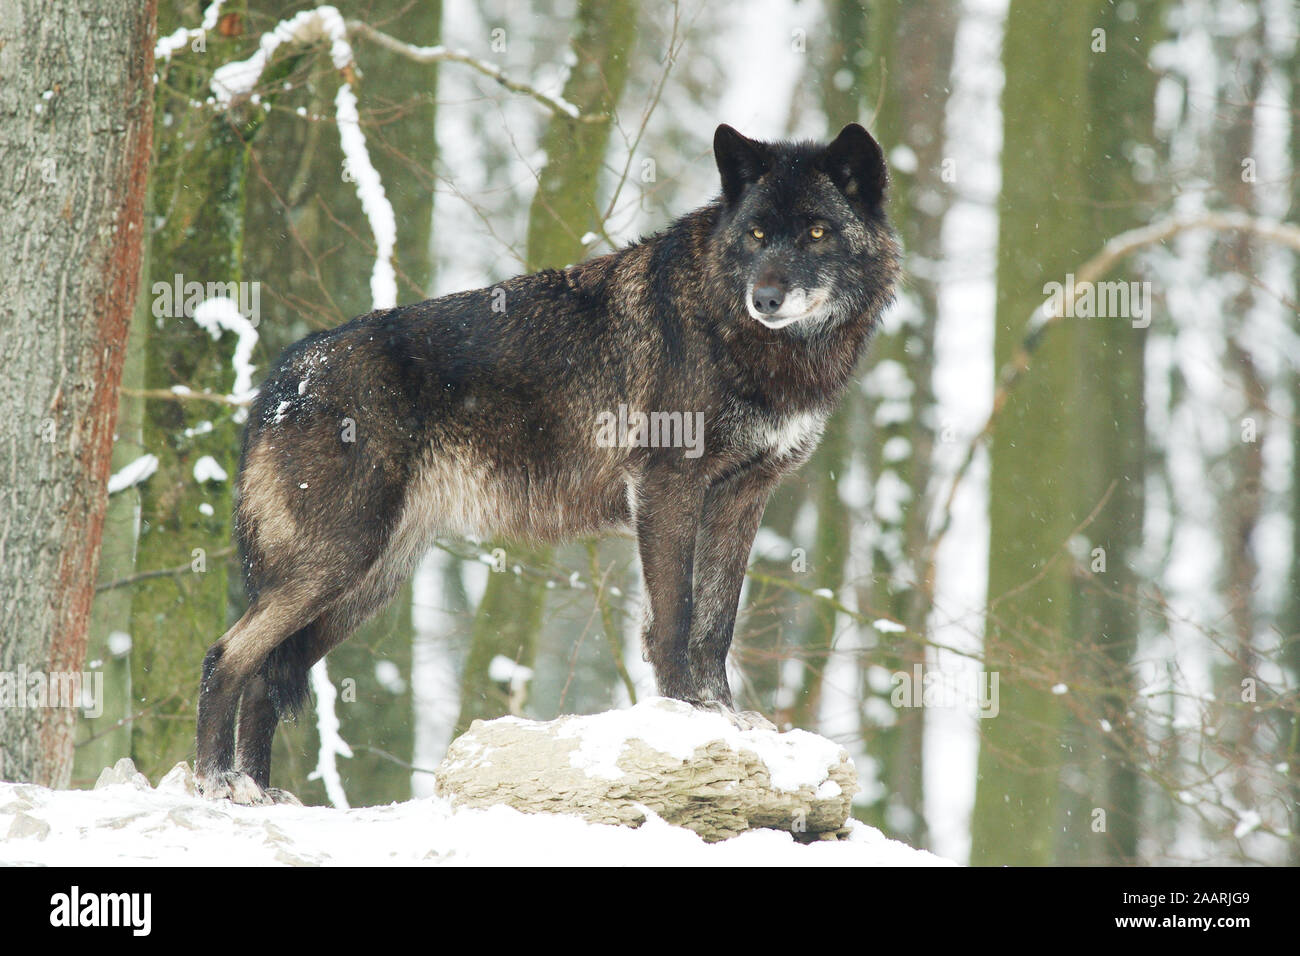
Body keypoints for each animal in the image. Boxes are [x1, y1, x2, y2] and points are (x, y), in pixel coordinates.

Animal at [195, 123, 900, 804]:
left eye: (816, 231)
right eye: (755, 234)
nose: (767, 297)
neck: (738, 333)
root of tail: (281, 377)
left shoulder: (742, 498)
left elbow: (715, 626)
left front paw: (721, 717)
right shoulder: (667, 487)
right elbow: (674, 621)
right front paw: (684, 721)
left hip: (367, 582)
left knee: (265, 673)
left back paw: (260, 792)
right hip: (336, 562)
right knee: (226, 656)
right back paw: (215, 785)